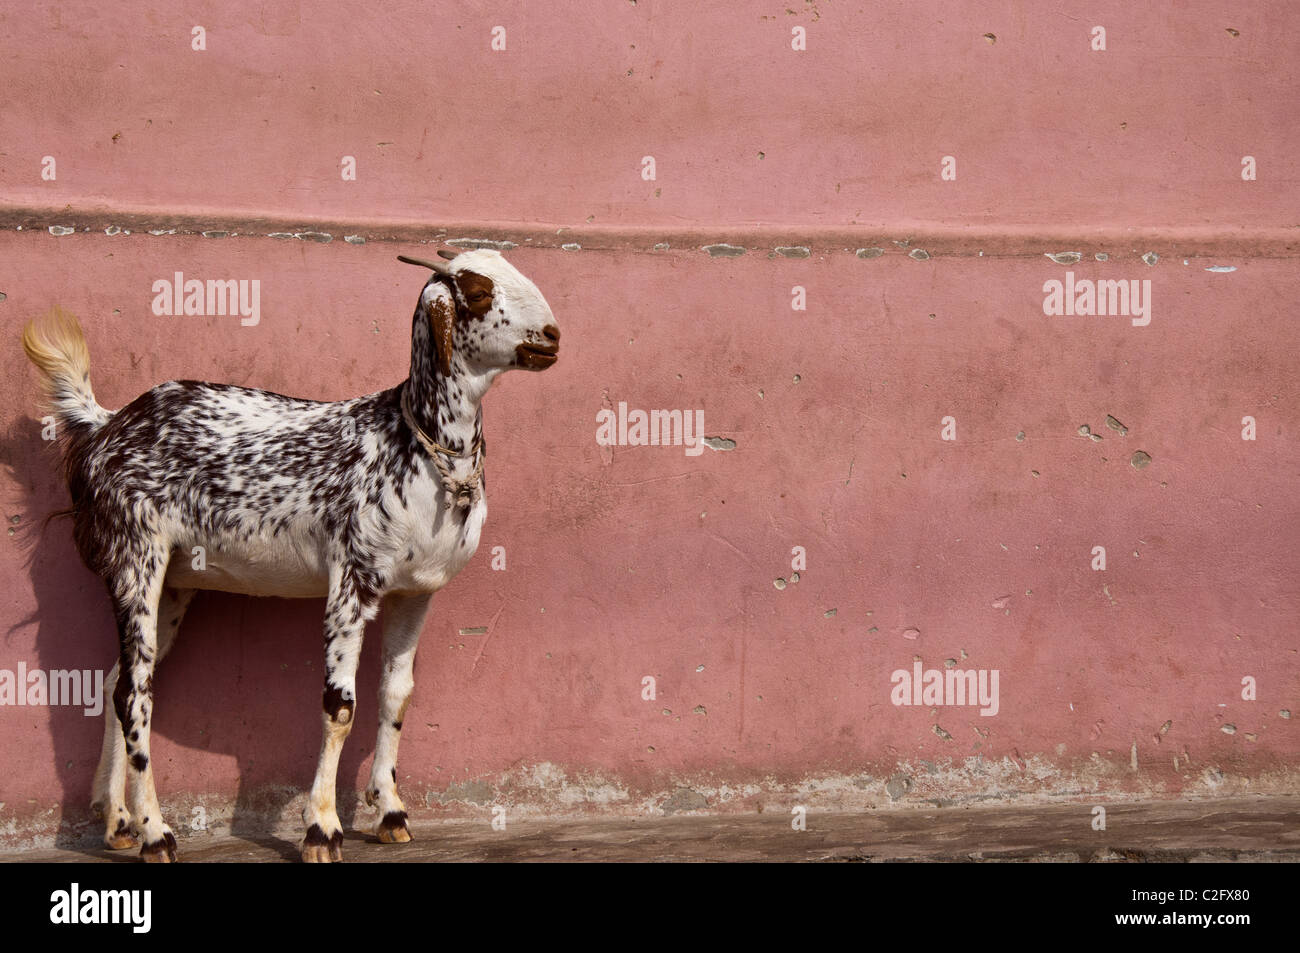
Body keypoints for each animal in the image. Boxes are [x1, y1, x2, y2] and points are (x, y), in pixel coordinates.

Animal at [20, 248, 560, 862]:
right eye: (475, 290)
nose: (551, 335)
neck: (412, 442)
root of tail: (107, 424)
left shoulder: (414, 592)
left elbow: (395, 696)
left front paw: (391, 811)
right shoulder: (351, 580)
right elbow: (340, 706)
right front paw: (321, 828)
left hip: (174, 581)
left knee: (116, 682)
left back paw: (117, 821)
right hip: (137, 556)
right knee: (135, 694)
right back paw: (156, 833)